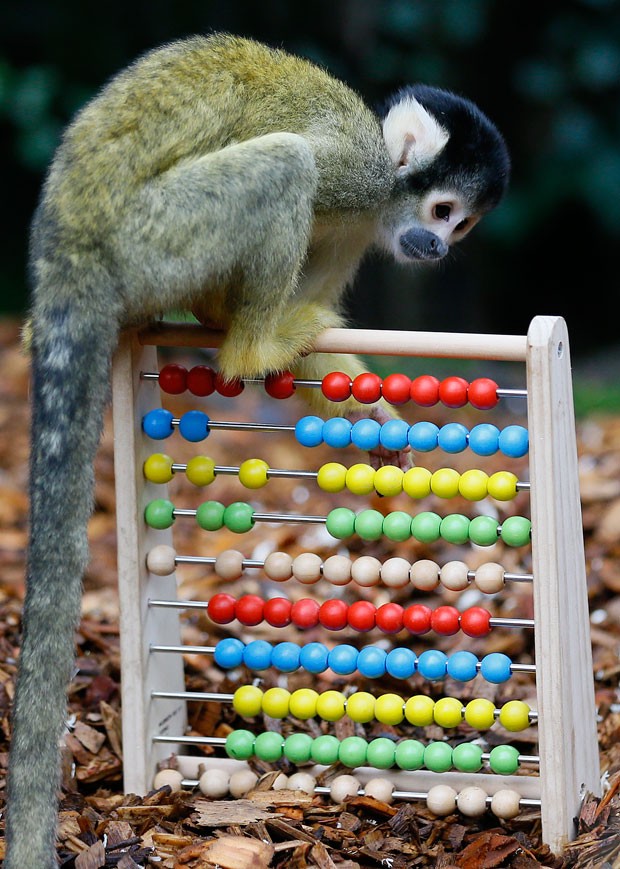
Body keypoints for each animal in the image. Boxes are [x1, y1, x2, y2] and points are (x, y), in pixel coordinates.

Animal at [5, 32, 509, 867]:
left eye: (464, 225)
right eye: (442, 211)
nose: (437, 245)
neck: (385, 192)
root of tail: (65, 257)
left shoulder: (359, 231)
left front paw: (372, 421)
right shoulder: (360, 174)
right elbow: (311, 166)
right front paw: (266, 344)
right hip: (152, 240)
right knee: (285, 165)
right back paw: (250, 344)